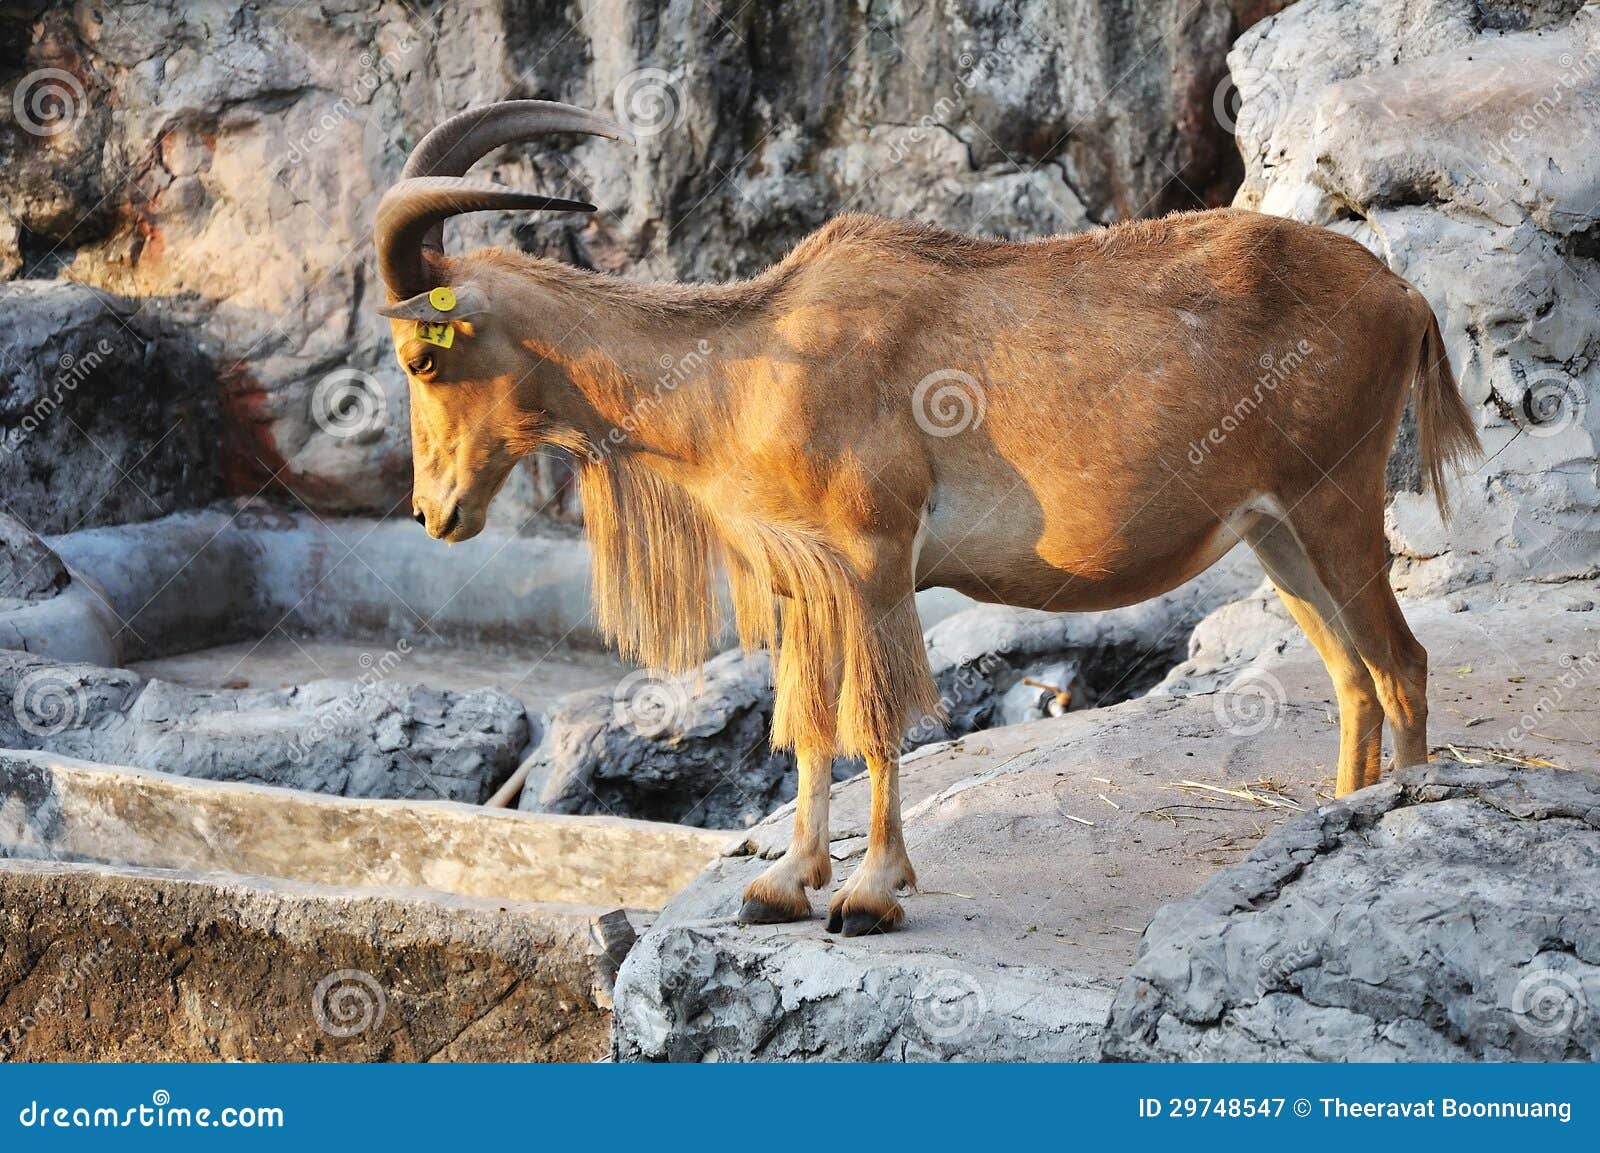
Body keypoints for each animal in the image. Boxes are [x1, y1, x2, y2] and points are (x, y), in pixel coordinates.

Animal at [375, 101, 1483, 935]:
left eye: (423, 358)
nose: (433, 512)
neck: (742, 368)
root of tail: (1403, 293)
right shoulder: (807, 582)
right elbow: (805, 722)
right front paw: (783, 884)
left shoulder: (873, 558)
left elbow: (871, 719)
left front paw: (869, 894)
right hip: (1273, 533)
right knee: (1351, 675)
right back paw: (1328, 817)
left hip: (1333, 502)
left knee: (1402, 661)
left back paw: (1396, 819)